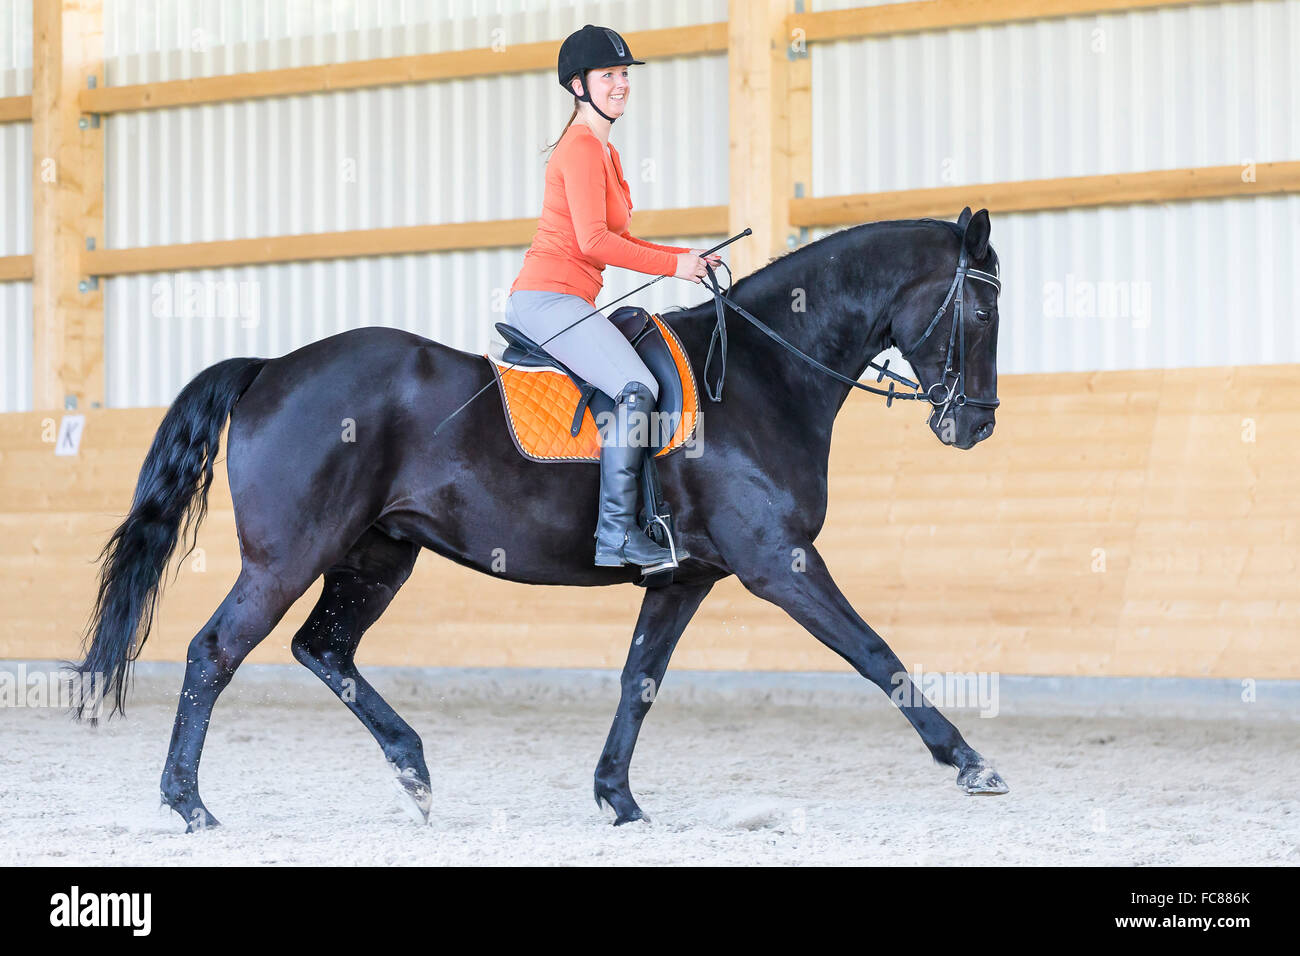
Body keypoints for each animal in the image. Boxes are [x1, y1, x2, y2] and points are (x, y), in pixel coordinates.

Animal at [74, 207, 1008, 831]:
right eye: (983, 310)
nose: (976, 427)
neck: (761, 374)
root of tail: (271, 366)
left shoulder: (686, 578)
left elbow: (639, 681)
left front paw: (617, 798)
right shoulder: (781, 562)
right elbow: (877, 654)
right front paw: (970, 763)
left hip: (377, 555)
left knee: (323, 648)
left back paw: (413, 771)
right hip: (288, 556)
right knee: (215, 652)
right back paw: (189, 803)